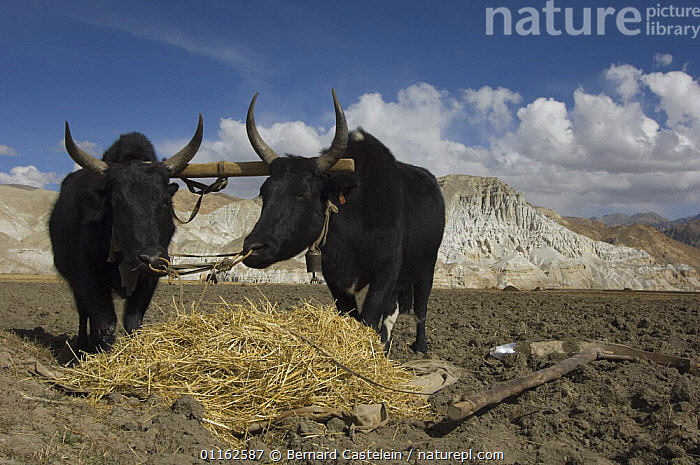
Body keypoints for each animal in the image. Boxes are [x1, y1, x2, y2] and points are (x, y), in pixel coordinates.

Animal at [49, 116, 203, 353]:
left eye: (164, 201)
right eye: (117, 203)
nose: (150, 259)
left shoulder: (148, 279)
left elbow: (133, 321)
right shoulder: (89, 276)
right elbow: (105, 322)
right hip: (73, 279)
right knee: (84, 312)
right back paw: (83, 345)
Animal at [242, 91, 445, 352]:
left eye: (304, 194)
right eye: (264, 193)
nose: (254, 248)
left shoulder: (386, 271)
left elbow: (369, 319)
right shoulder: (337, 279)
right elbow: (354, 316)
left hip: (426, 266)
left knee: (421, 306)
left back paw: (420, 346)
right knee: (394, 310)